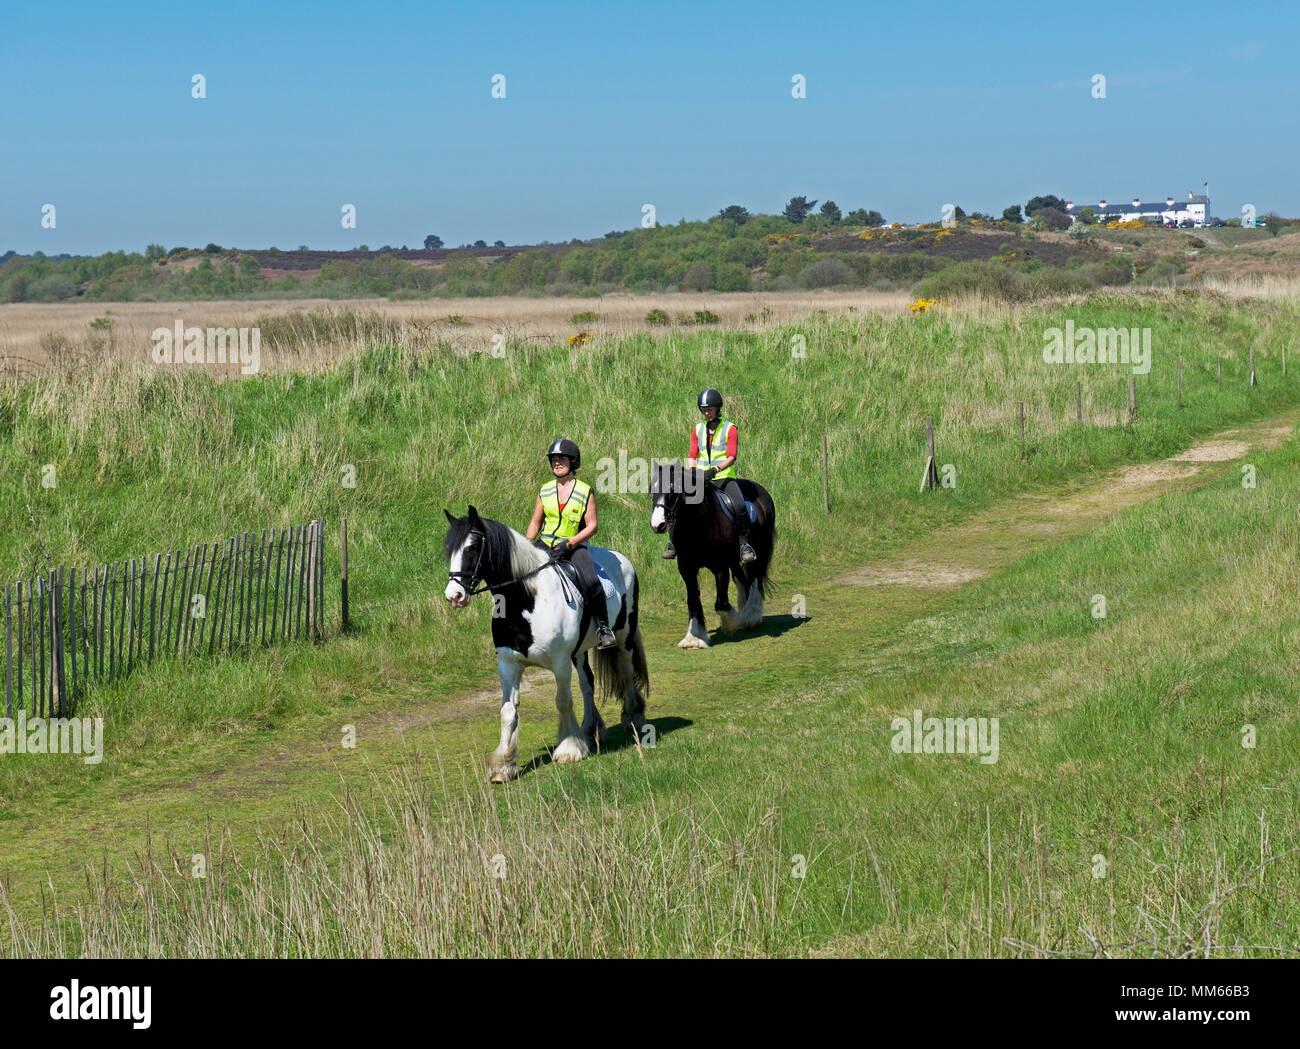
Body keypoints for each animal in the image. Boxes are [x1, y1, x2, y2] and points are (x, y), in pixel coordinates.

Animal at [443, 506, 649, 782]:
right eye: (449, 550)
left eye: (473, 547)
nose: (454, 596)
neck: (526, 601)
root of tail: (621, 558)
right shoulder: (508, 664)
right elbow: (508, 712)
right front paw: (503, 766)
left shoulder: (559, 662)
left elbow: (562, 701)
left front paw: (569, 749)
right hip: (580, 652)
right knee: (587, 683)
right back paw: (591, 729)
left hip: (624, 635)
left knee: (626, 673)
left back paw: (632, 717)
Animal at [649, 462, 775, 649]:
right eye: (652, 489)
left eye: (673, 488)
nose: (657, 525)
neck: (699, 523)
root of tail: (762, 491)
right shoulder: (687, 568)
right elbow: (693, 601)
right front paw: (694, 638)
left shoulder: (720, 567)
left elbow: (721, 604)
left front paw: (731, 624)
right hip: (734, 560)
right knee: (742, 579)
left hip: (759, 550)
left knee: (754, 578)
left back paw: (751, 616)